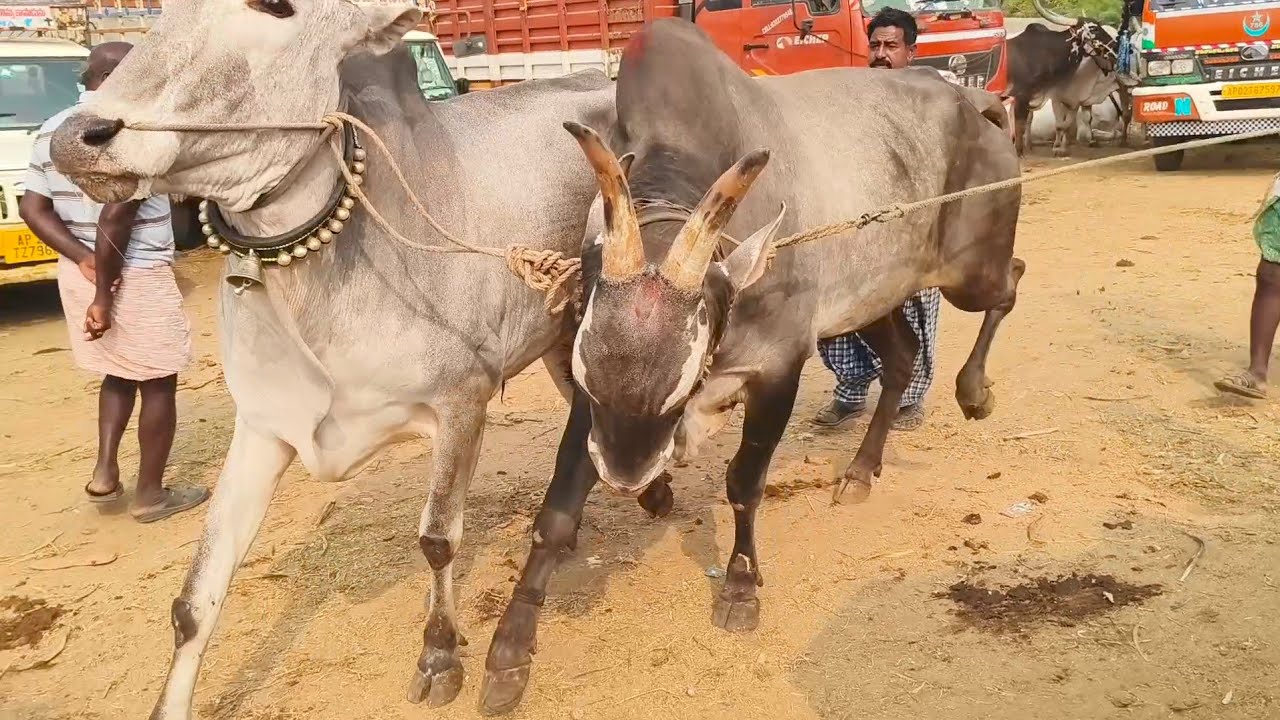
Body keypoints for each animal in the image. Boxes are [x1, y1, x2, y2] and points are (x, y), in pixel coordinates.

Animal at [43, 1, 629, 717]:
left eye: (274, 9)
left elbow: (438, 539)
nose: (77, 137)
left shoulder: (462, 400)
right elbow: (194, 598)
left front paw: (440, 656)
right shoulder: (262, 426)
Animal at [478, 19, 1026, 714]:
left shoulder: (779, 368)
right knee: (903, 358)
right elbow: (554, 515)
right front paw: (508, 651)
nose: (627, 477)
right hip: (872, 294)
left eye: (683, 388)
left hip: (970, 271)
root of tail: (973, 101)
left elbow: (744, 483)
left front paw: (741, 587)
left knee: (1010, 284)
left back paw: (974, 390)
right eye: (594, 383)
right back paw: (860, 471)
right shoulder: (591, 406)